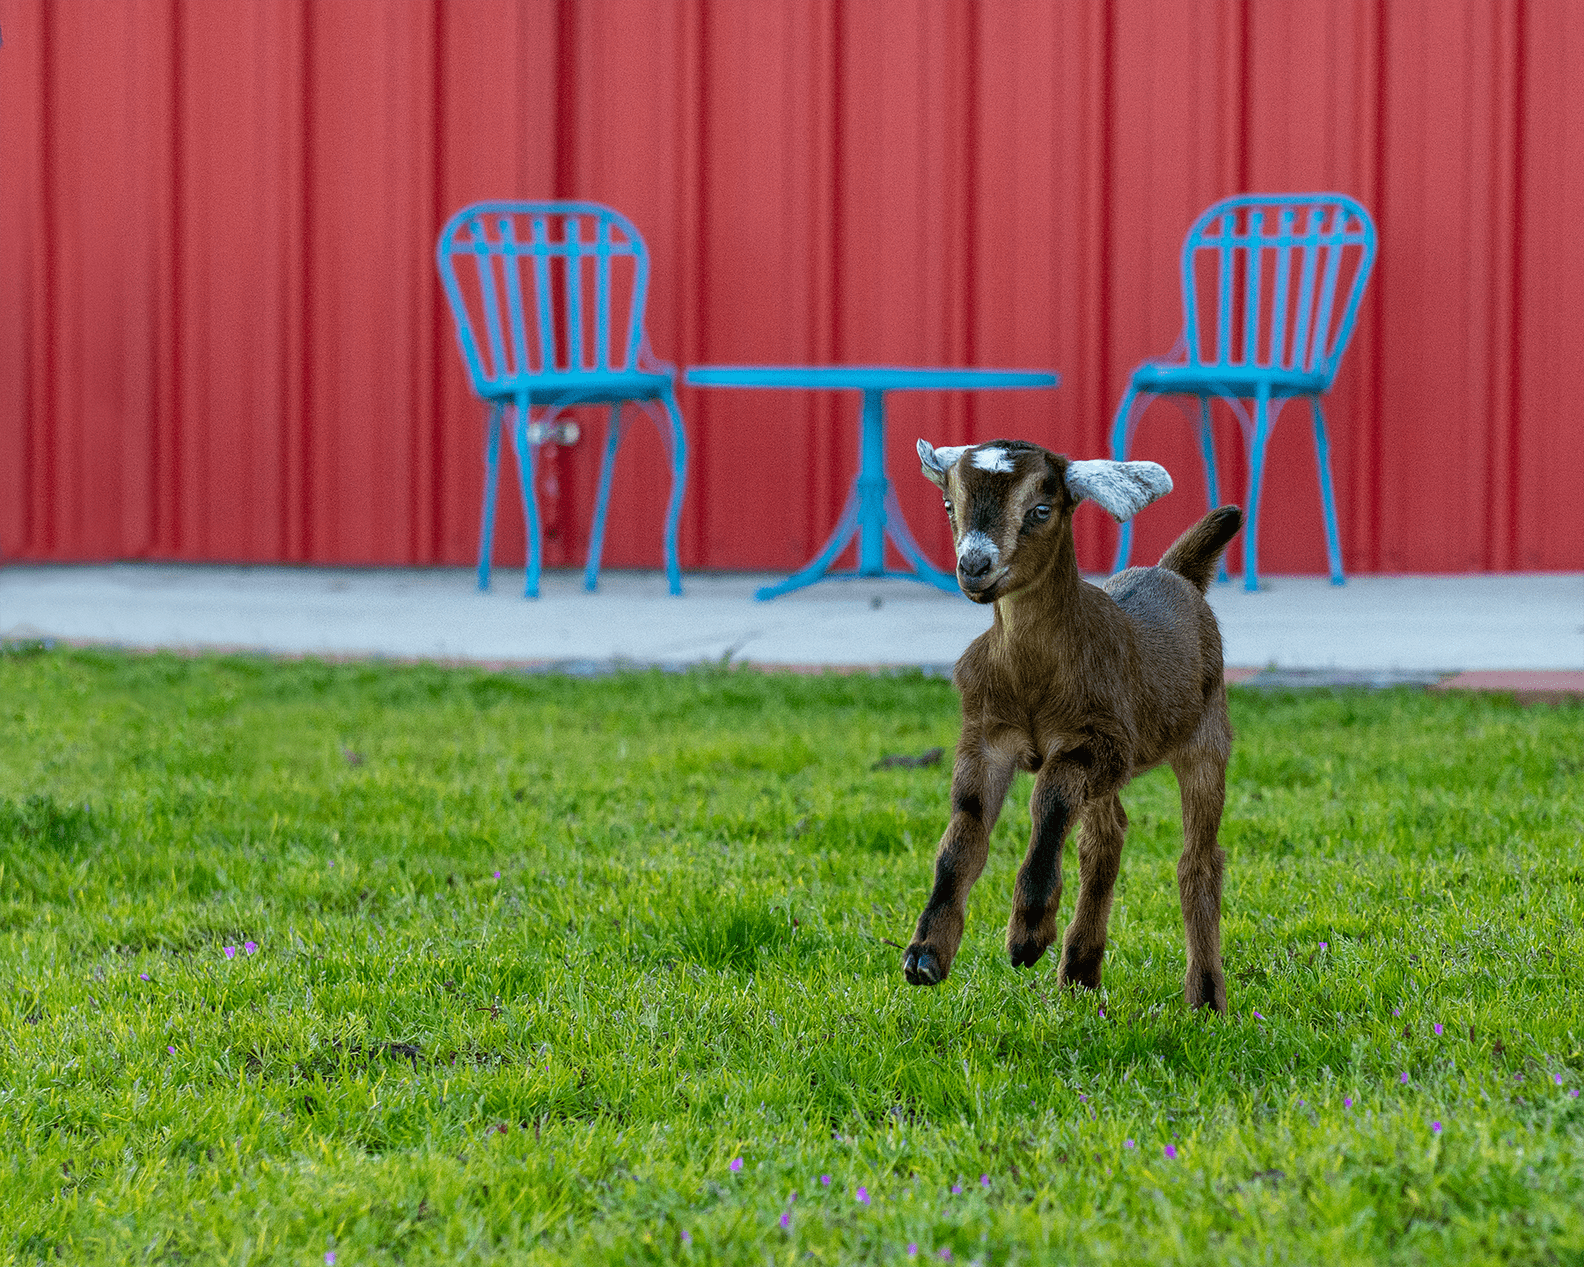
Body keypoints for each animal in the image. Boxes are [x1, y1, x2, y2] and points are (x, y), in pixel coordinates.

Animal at [903, 438, 1242, 1012]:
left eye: (1041, 510)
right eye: (950, 504)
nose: (974, 565)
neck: (1035, 676)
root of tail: (1174, 574)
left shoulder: (1099, 742)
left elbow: (1050, 799)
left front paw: (1027, 935)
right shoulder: (986, 738)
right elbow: (962, 835)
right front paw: (926, 954)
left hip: (1206, 736)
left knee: (1198, 859)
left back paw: (1205, 997)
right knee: (1105, 836)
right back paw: (1080, 970)